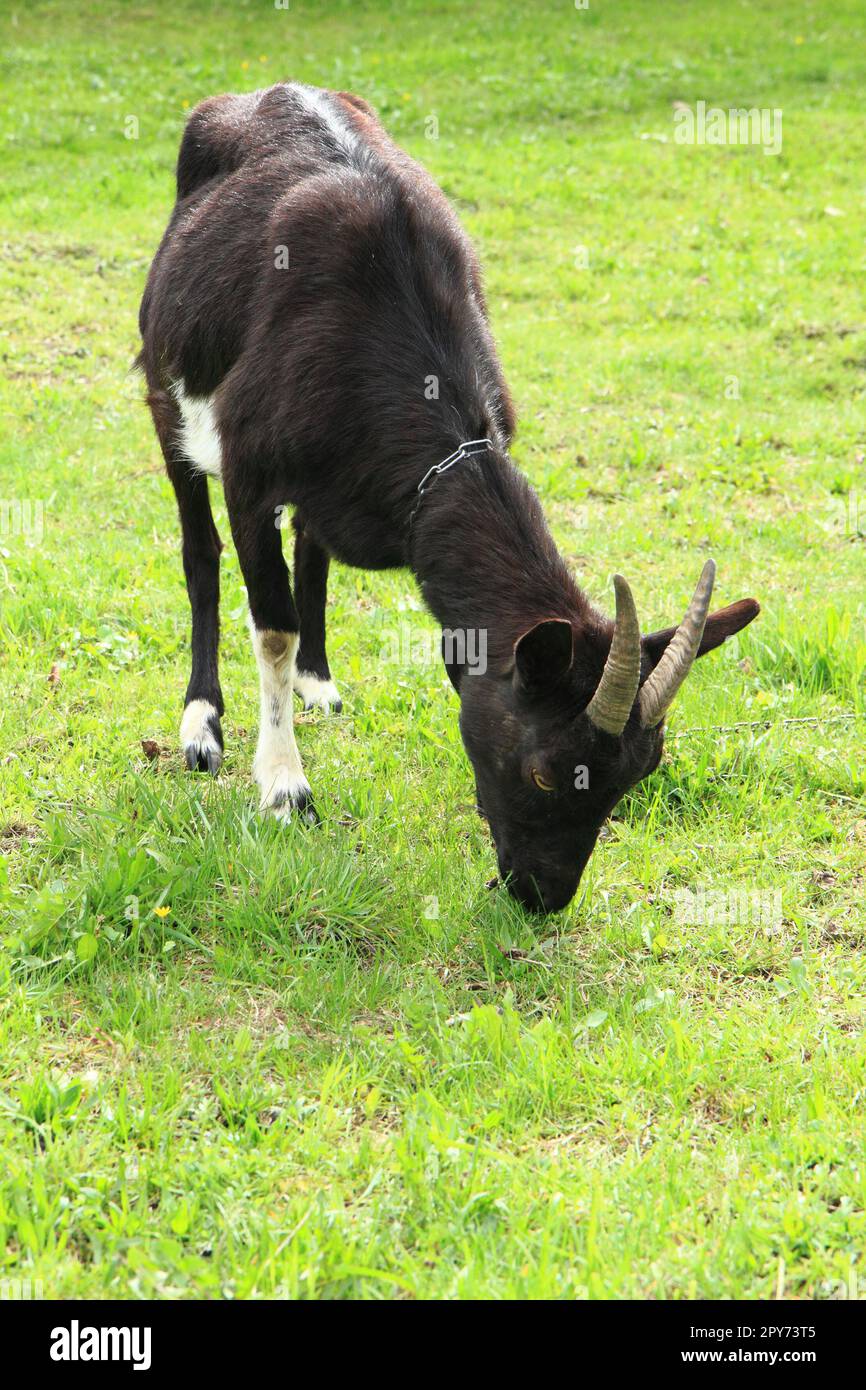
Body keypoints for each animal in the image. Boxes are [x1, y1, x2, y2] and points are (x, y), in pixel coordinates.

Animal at [138, 82, 759, 912]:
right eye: (542, 771)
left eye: (640, 775)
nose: (542, 896)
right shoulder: (248, 475)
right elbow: (270, 623)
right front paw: (284, 789)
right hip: (165, 393)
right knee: (199, 552)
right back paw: (202, 726)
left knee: (311, 547)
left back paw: (318, 685)